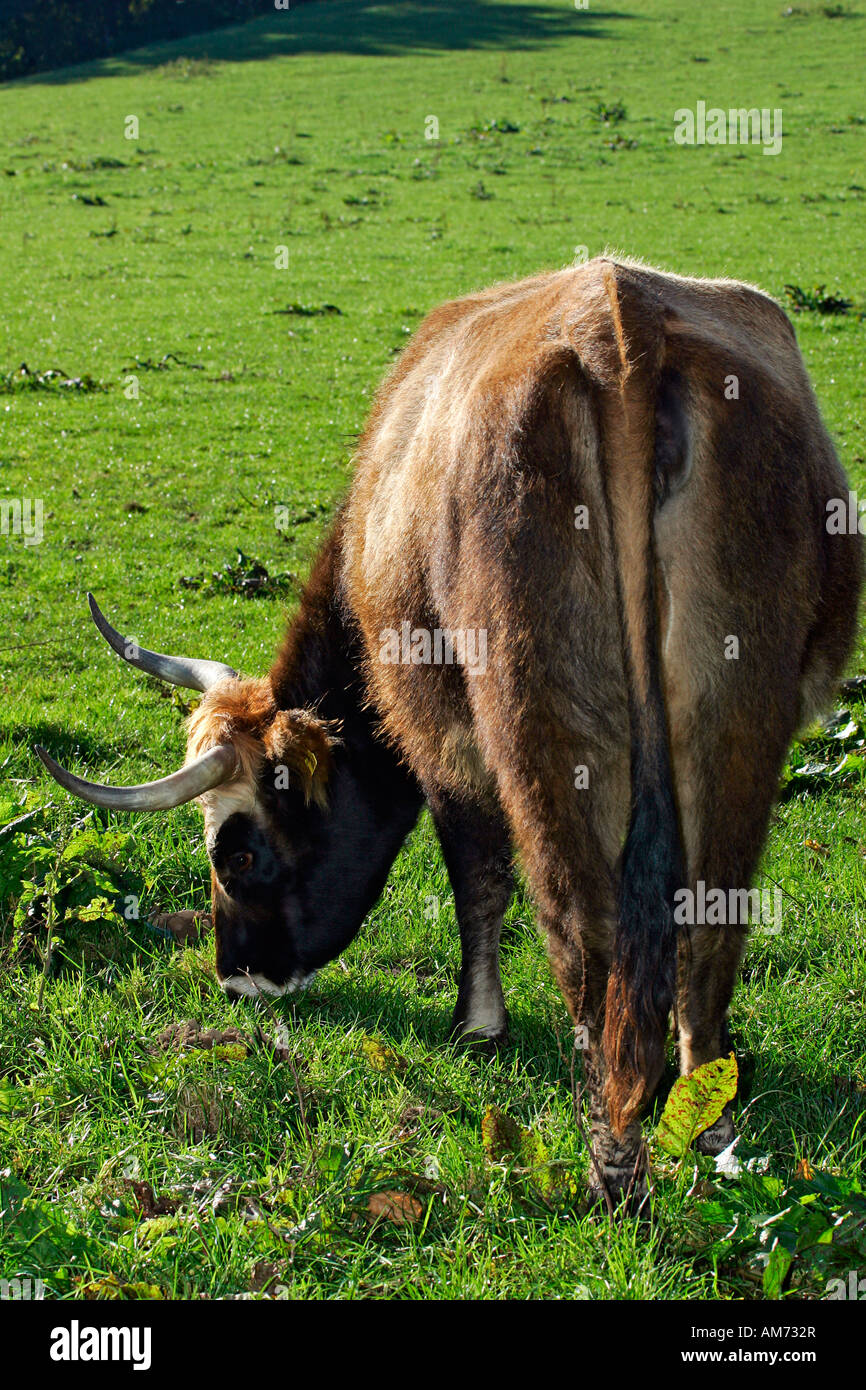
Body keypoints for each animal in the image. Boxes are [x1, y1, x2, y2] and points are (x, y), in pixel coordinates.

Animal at [36, 256, 862, 1209]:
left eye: (235, 853)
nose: (237, 977)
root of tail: (619, 335)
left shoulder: (440, 734)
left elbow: (476, 876)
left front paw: (478, 1025)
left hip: (540, 732)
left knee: (581, 928)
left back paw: (612, 1159)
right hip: (734, 729)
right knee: (708, 931)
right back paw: (708, 1117)